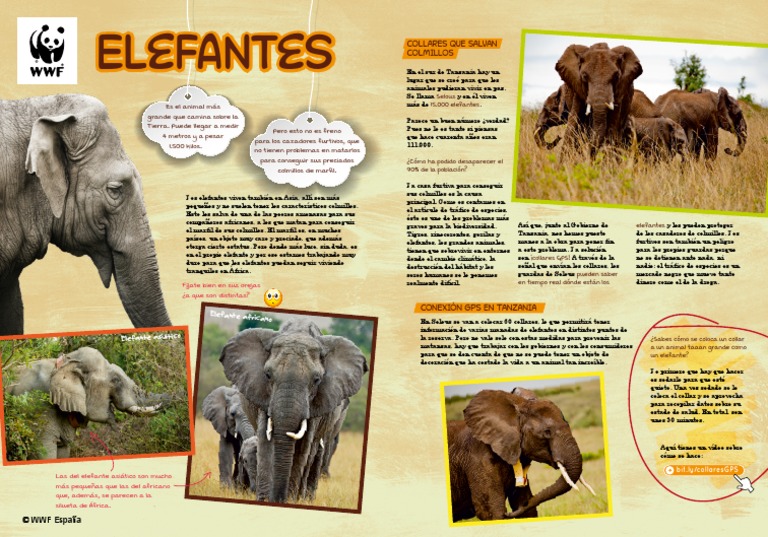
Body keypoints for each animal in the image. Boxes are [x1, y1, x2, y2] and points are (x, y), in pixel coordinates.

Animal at [219, 318, 368, 503]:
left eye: (317, 380)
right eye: (267, 375)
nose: (278, 498)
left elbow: (303, 447)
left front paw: (288, 500)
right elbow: (265, 440)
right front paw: (265, 499)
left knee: (312, 452)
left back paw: (302, 498)